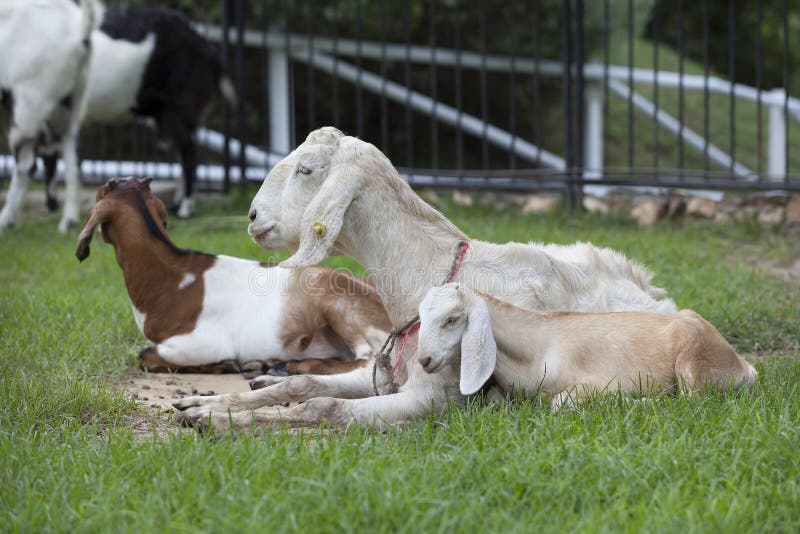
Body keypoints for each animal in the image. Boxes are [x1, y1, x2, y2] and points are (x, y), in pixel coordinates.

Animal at [0, 0, 102, 233]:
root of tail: (79, 28)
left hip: (28, 108)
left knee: (26, 166)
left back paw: (5, 221)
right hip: (69, 107)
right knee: (72, 161)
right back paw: (68, 221)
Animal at [41, 7, 236, 221]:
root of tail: (206, 48)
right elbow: (47, 156)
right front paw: (51, 205)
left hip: (179, 106)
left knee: (188, 154)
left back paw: (185, 209)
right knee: (183, 151)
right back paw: (178, 205)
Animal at [76, 177, 391, 376]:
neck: (175, 281)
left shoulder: (201, 343)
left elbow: (144, 354)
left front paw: (225, 365)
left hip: (340, 305)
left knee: (368, 359)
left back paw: (285, 367)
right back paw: (267, 364)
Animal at [173, 127, 678, 431]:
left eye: (306, 169)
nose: (253, 217)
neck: (426, 274)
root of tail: (655, 293)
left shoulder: (430, 399)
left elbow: (323, 405)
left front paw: (218, 423)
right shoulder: (383, 377)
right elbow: (307, 386)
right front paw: (203, 407)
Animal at [417, 284, 757, 409]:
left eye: (453, 318)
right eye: (421, 317)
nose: (424, 360)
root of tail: (744, 367)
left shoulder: (598, 383)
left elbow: (558, 403)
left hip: (692, 361)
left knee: (690, 400)